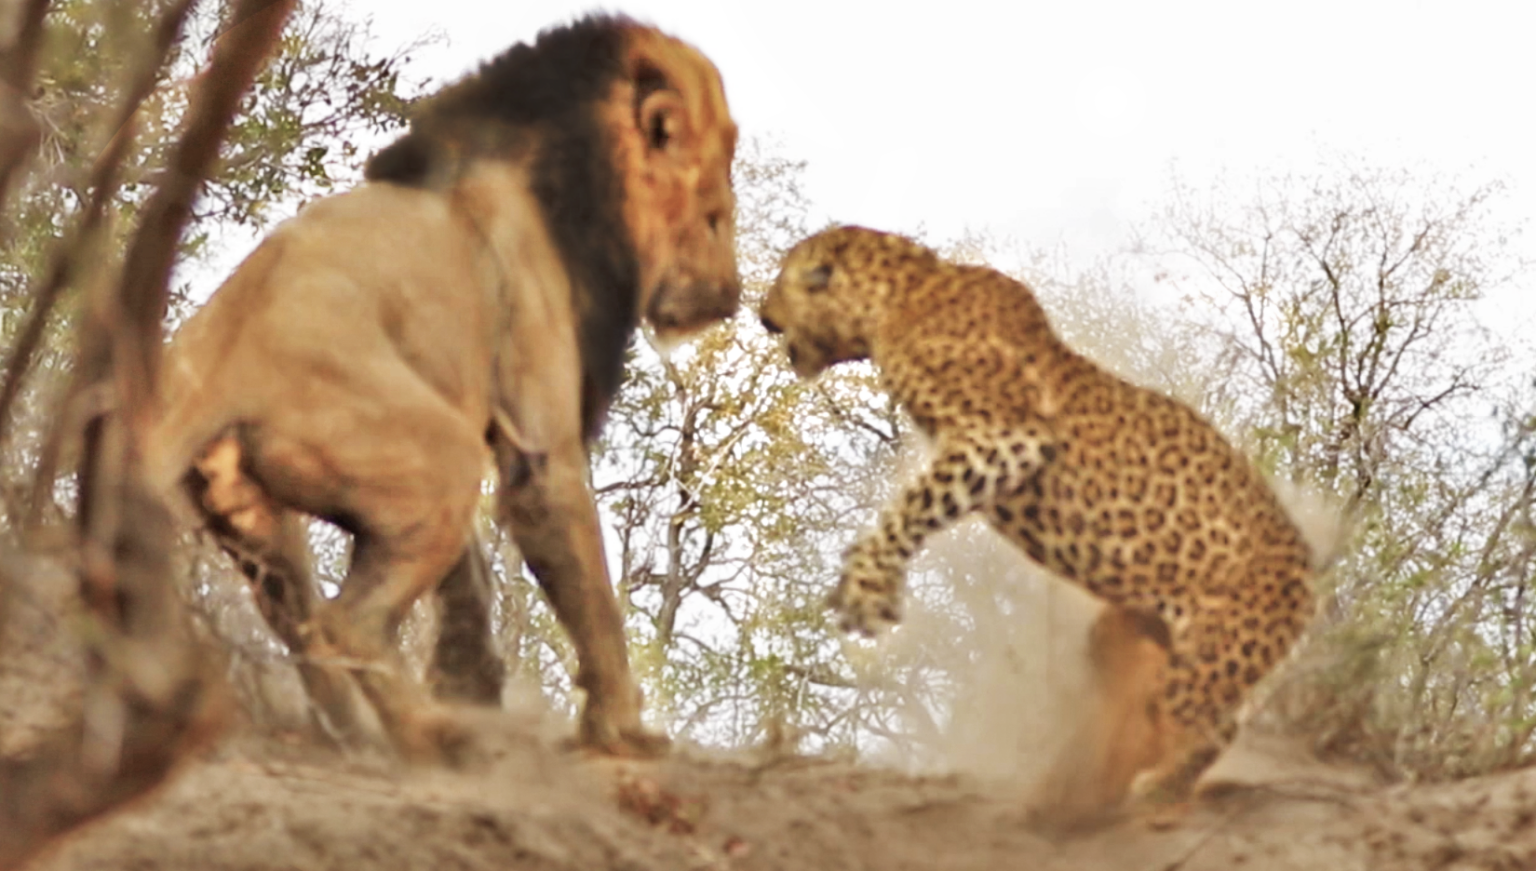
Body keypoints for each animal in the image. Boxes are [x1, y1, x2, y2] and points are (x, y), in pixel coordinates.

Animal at [143, 14, 740, 759]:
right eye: (715, 217)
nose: (731, 295)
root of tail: (211, 369)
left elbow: (469, 581)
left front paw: (473, 682)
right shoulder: (537, 422)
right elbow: (582, 574)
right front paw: (620, 728)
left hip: (256, 515)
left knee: (306, 629)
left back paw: (354, 734)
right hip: (438, 450)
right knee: (348, 622)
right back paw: (436, 737)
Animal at [758, 225, 1316, 814]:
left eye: (781, 276)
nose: (760, 312)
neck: (900, 296)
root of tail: (1310, 574)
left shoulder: (1006, 435)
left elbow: (912, 504)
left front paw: (866, 589)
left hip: (1207, 662)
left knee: (1211, 728)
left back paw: (1153, 789)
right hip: (1145, 635)